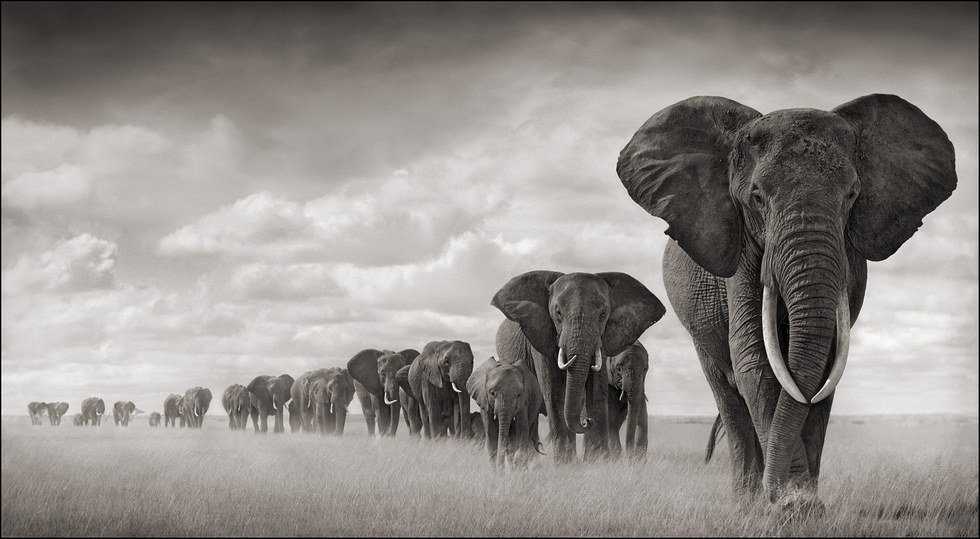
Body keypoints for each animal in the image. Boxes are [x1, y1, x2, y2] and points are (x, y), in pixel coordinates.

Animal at [492, 271, 665, 463]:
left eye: (603, 314)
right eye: (558, 313)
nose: (587, 421)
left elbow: (596, 389)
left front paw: (598, 460)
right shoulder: (541, 335)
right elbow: (554, 391)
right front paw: (565, 463)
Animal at [616, 94, 957, 506]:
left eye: (852, 195)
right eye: (757, 197)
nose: (780, 494)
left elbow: (825, 366)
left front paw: (801, 502)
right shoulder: (742, 250)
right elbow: (755, 360)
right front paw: (790, 505)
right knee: (728, 394)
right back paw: (746, 501)